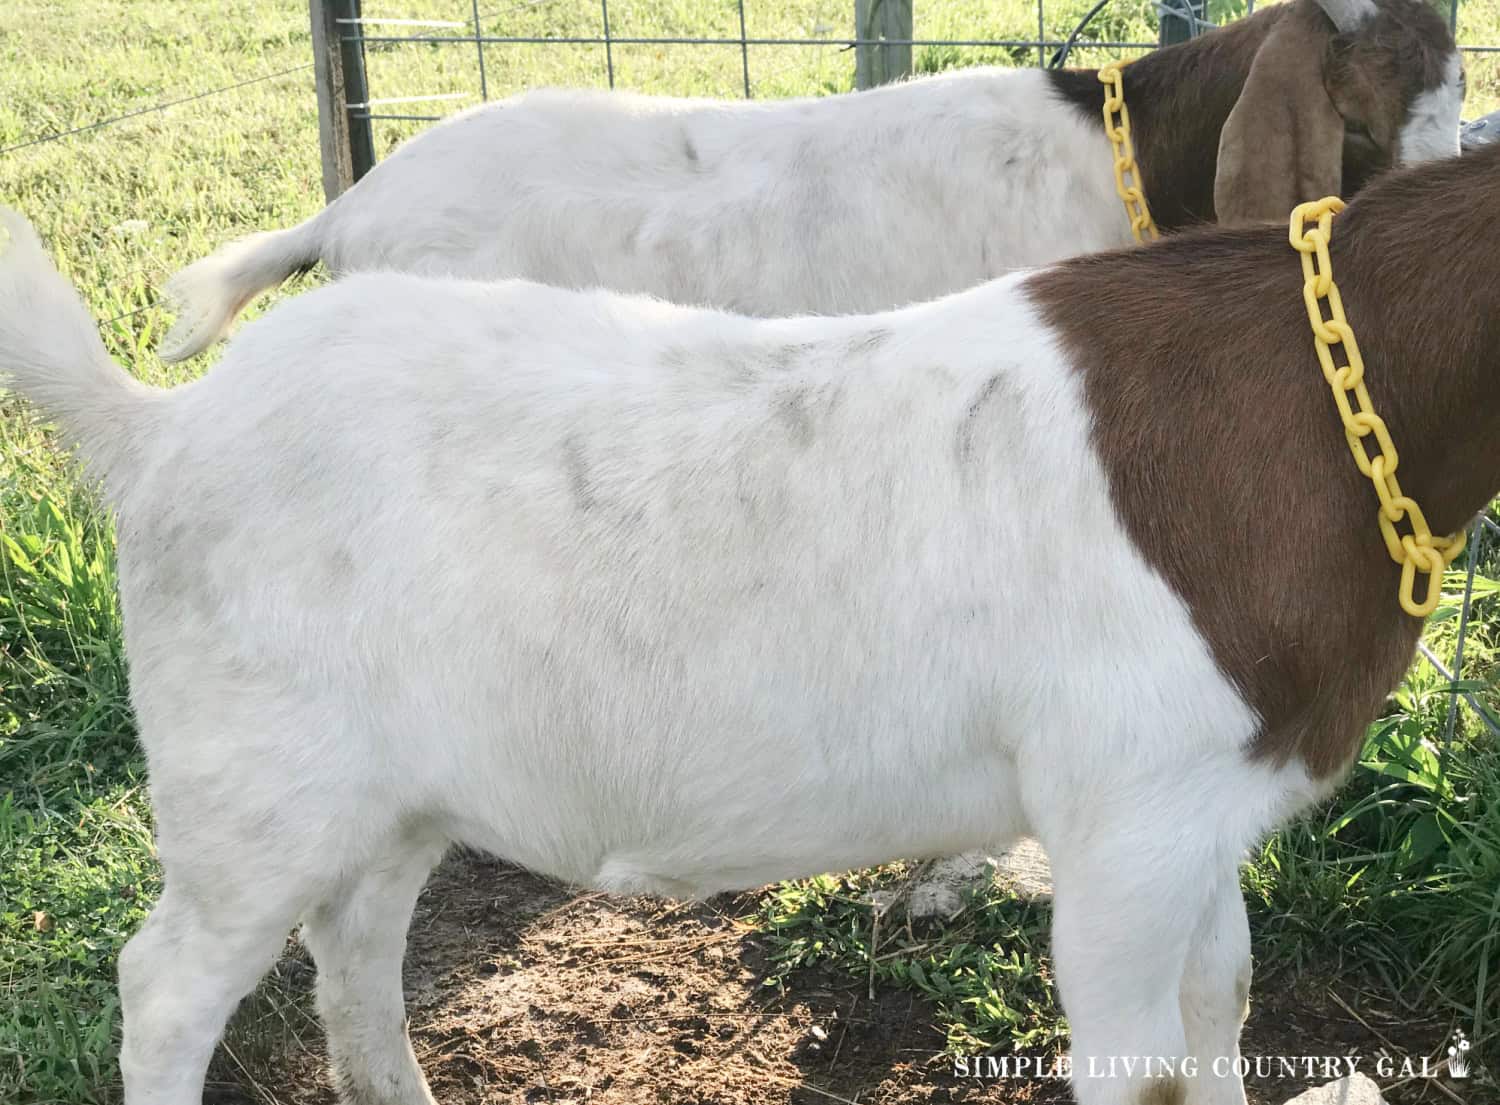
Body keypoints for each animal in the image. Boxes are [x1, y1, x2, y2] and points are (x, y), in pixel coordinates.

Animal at [3, 141, 1497, 1105]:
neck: (1328, 412)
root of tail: (159, 432)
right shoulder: (1125, 815)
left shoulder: (1207, 798)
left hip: (382, 786)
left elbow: (1219, 1011)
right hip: (247, 779)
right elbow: (1145, 1070)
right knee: (169, 986)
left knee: (356, 950)